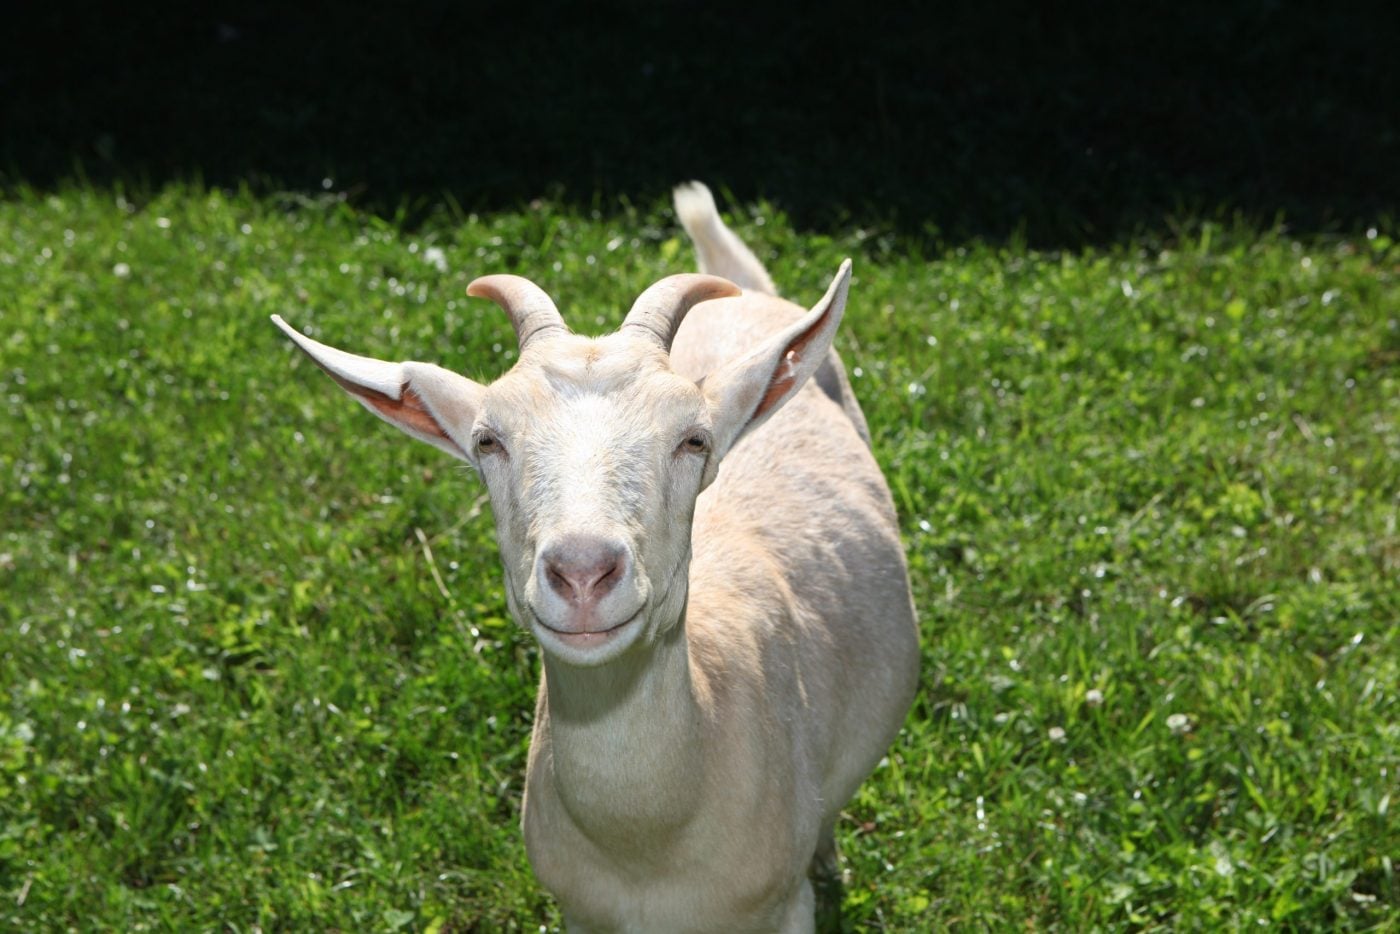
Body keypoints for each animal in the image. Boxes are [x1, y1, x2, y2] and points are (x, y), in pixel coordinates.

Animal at [271, 182, 920, 933]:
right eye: (487, 440)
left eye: (694, 439)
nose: (582, 572)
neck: (646, 850)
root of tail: (747, 294)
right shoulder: (581, 910)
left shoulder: (783, 909)